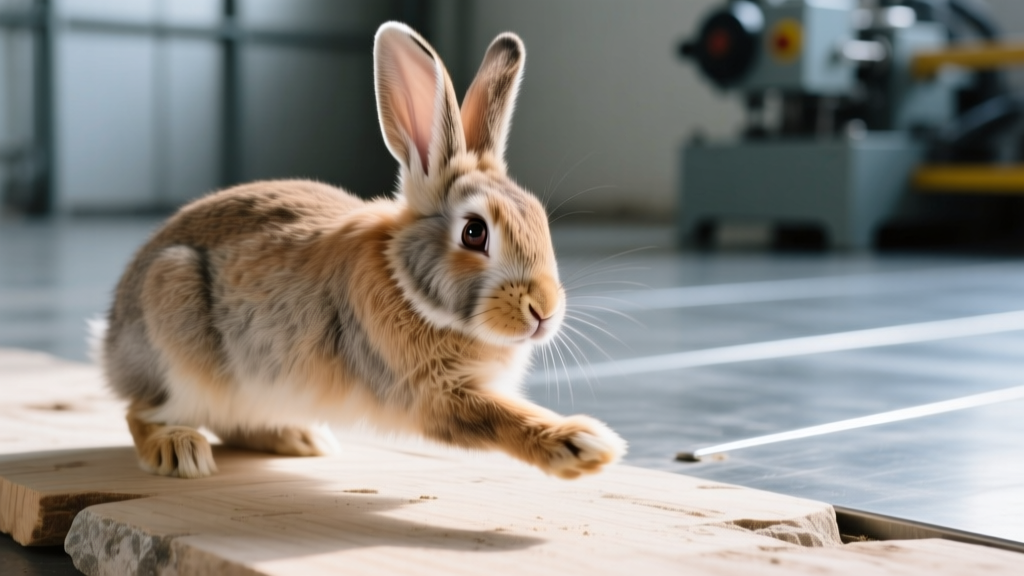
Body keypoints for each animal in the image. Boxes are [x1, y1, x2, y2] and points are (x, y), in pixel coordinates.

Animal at [94, 21, 627, 480]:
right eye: (475, 233)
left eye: (539, 218)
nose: (544, 311)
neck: (407, 285)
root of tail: (110, 344)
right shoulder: (430, 393)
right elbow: (497, 415)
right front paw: (584, 445)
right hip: (179, 341)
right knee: (141, 412)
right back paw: (179, 451)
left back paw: (300, 437)